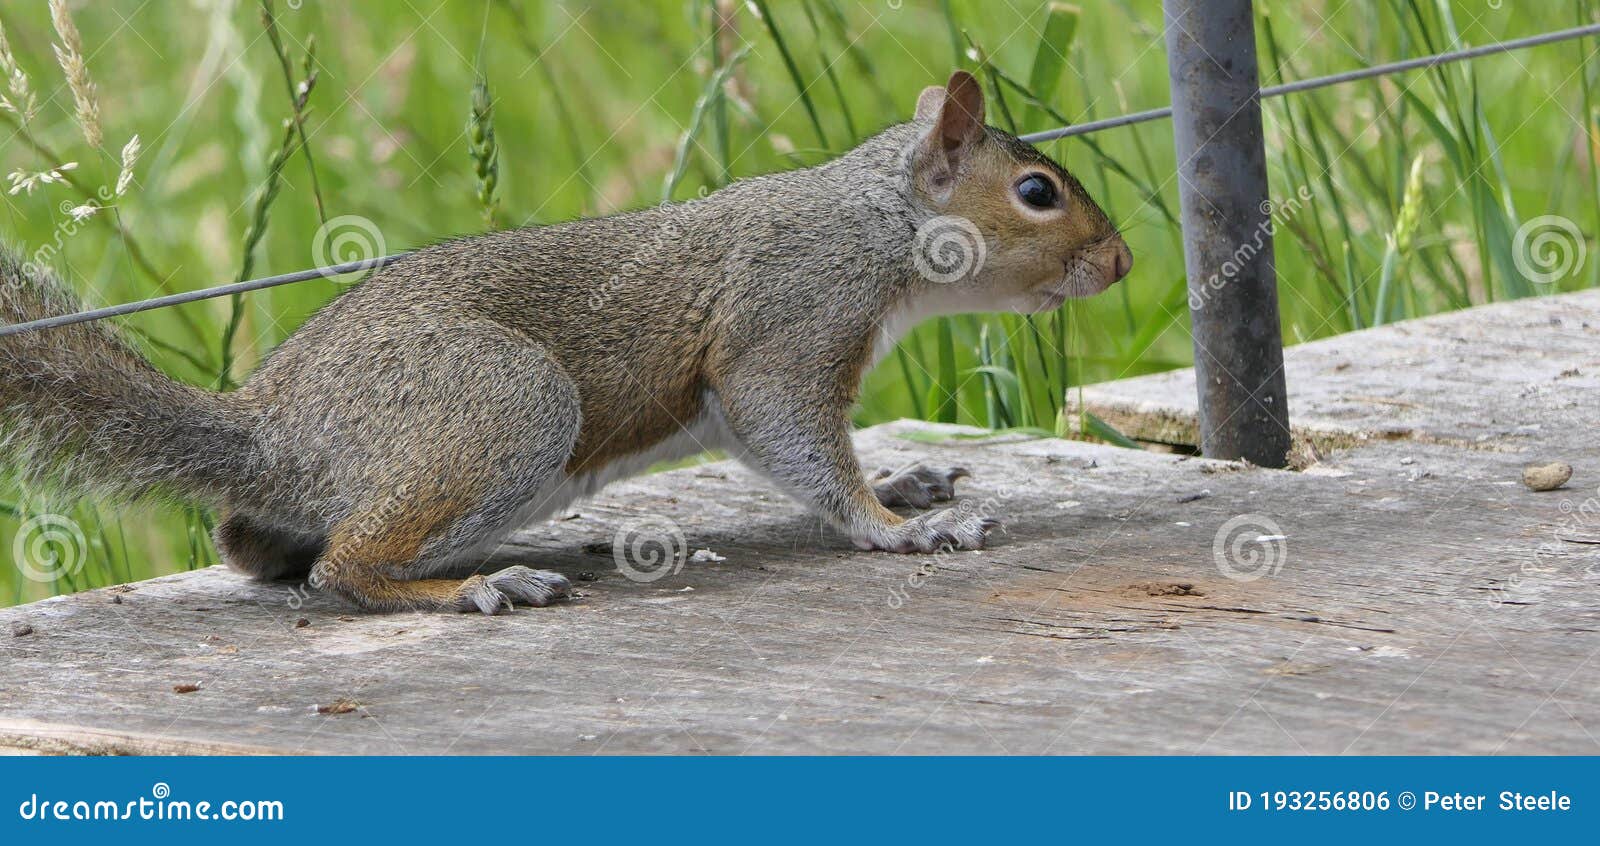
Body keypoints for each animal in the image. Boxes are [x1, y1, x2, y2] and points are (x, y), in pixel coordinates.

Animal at [0, 71, 1130, 614]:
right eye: (1037, 192)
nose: (1119, 264)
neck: (879, 222)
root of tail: (272, 433)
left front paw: (902, 485)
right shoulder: (789, 318)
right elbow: (791, 432)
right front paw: (899, 528)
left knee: (272, 555)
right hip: (508, 402)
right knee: (343, 570)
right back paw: (477, 586)